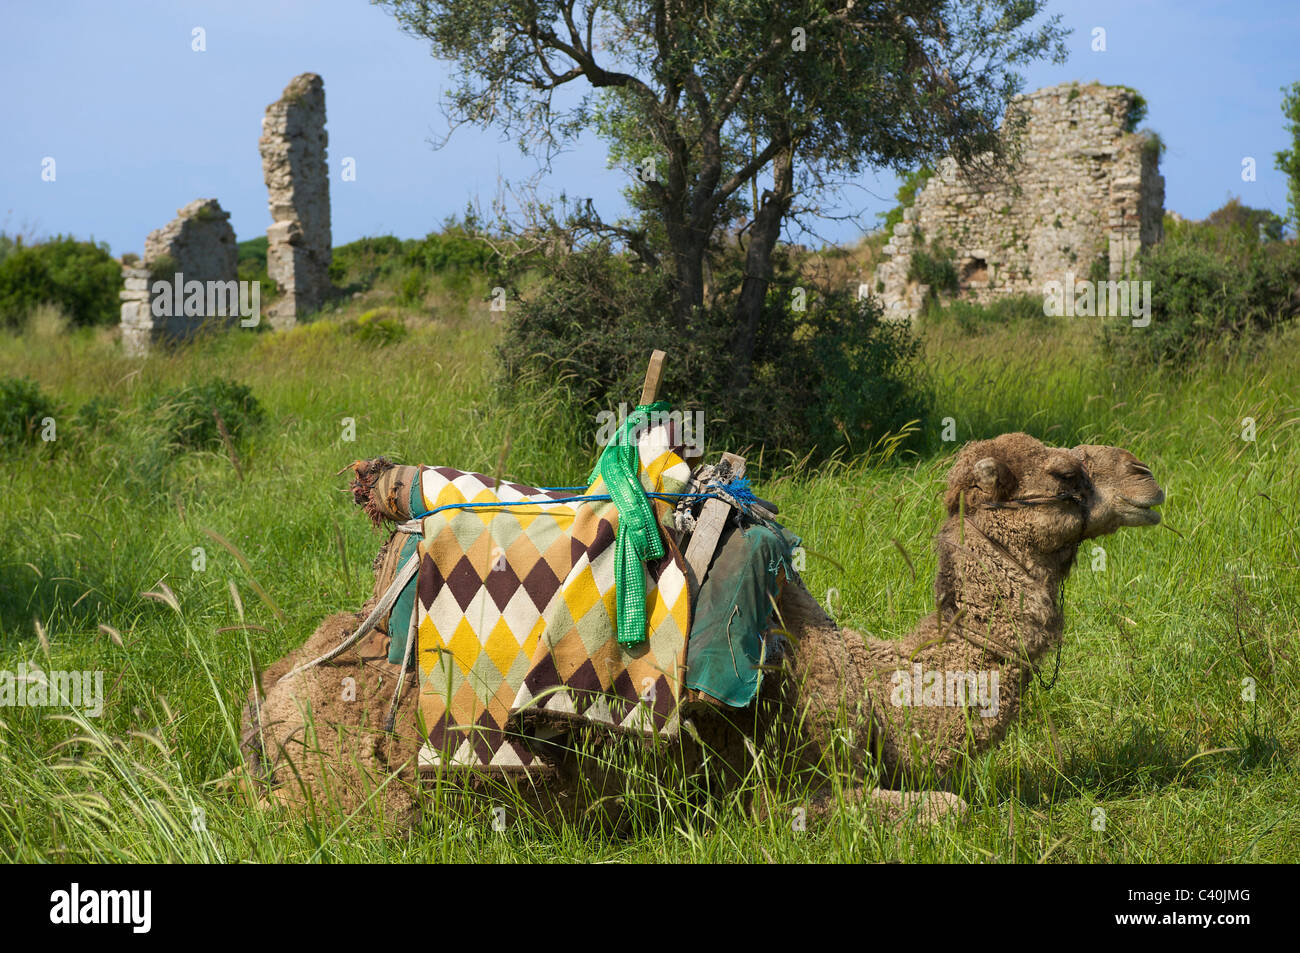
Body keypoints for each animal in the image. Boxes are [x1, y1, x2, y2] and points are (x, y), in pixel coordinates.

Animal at [231, 434, 1164, 828]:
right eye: (1064, 475)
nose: (1150, 479)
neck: (877, 689)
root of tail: (271, 702)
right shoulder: (774, 778)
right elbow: (944, 806)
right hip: (369, 786)